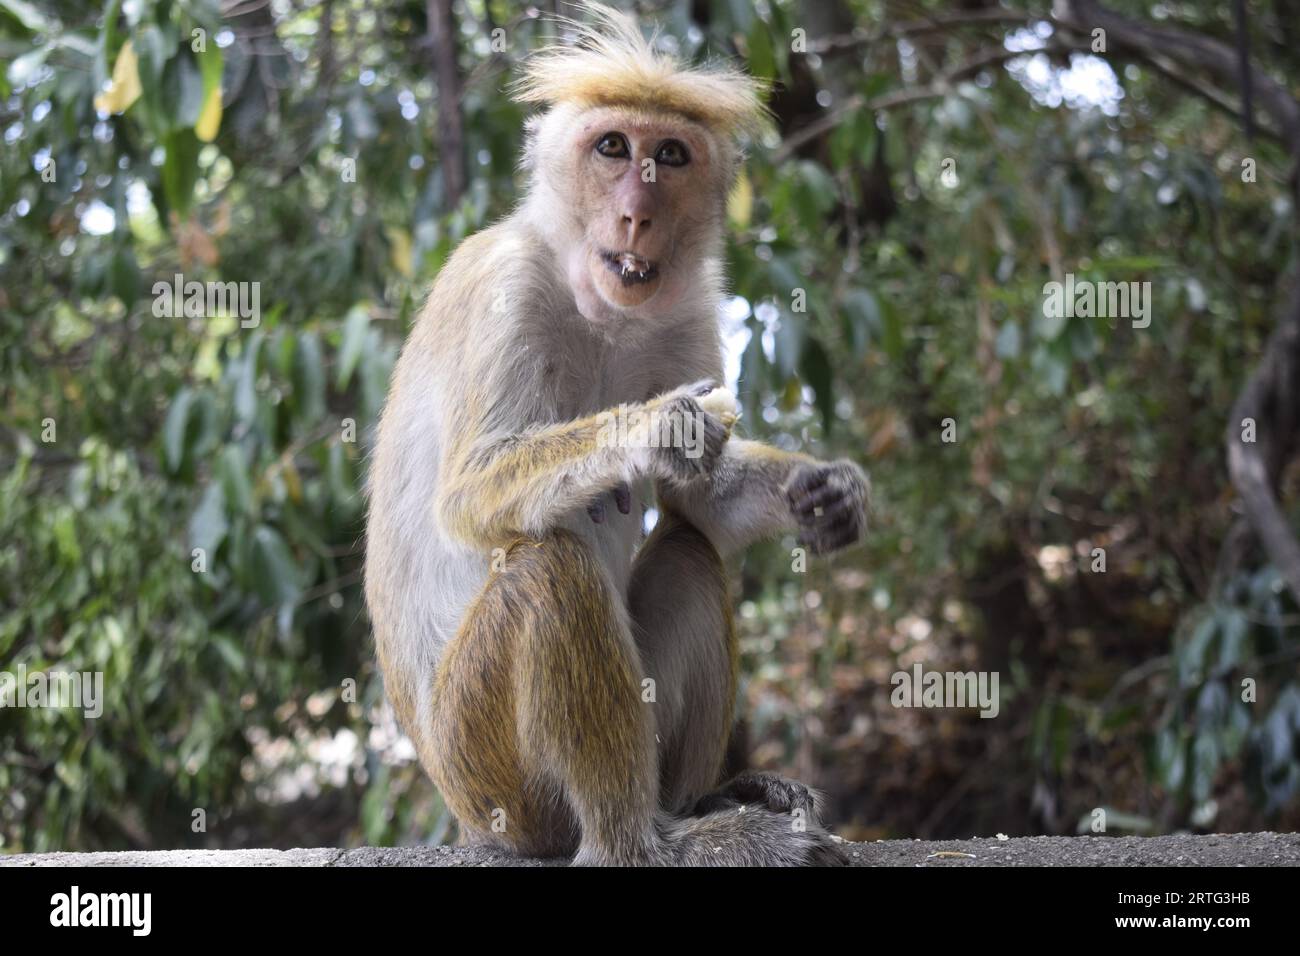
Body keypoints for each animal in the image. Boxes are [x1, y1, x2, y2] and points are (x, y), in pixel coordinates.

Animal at [364, 3, 869, 866]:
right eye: (611, 149)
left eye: (670, 154)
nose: (638, 211)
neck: (596, 309)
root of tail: (463, 814)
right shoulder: (503, 288)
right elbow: (467, 495)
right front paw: (652, 428)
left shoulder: (691, 311)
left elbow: (704, 504)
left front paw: (825, 490)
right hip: (490, 772)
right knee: (548, 570)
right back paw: (639, 843)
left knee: (691, 553)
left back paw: (703, 800)